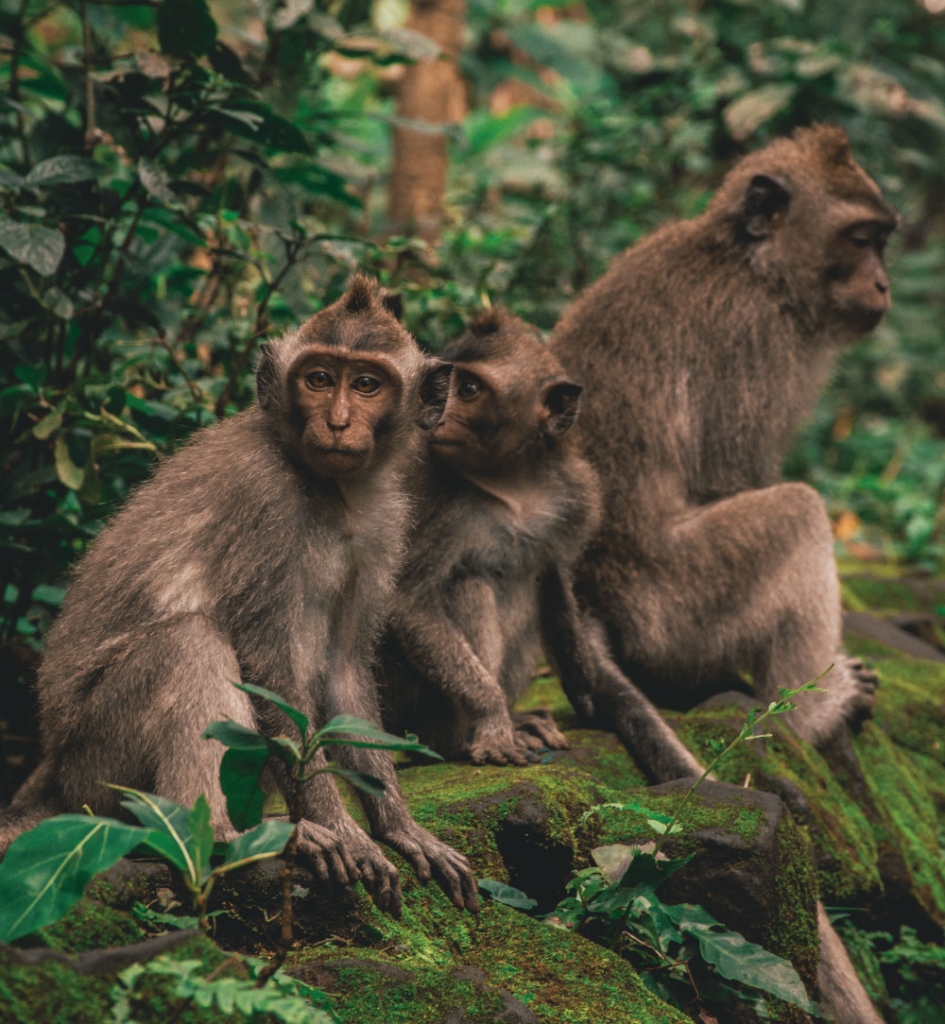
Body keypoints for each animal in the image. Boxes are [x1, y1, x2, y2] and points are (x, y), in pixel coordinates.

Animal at [0, 274, 478, 916]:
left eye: (367, 383)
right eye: (318, 378)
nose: (338, 421)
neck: (330, 488)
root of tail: (50, 767)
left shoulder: (385, 523)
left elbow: (343, 671)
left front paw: (399, 827)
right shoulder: (265, 501)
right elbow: (269, 672)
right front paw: (343, 828)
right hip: (95, 763)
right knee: (189, 644)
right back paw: (227, 835)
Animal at [378, 308, 704, 783]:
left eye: (469, 388)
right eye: (447, 384)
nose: (435, 417)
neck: (514, 484)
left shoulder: (577, 494)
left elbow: (554, 579)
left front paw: (589, 691)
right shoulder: (437, 502)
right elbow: (410, 601)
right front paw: (492, 717)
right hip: (403, 705)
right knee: (471, 582)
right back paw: (461, 737)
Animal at [548, 124, 896, 751]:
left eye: (882, 241)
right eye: (859, 240)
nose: (883, 284)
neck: (751, 264)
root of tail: (588, 594)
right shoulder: (756, 335)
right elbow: (730, 478)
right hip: (677, 609)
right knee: (796, 513)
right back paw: (808, 714)